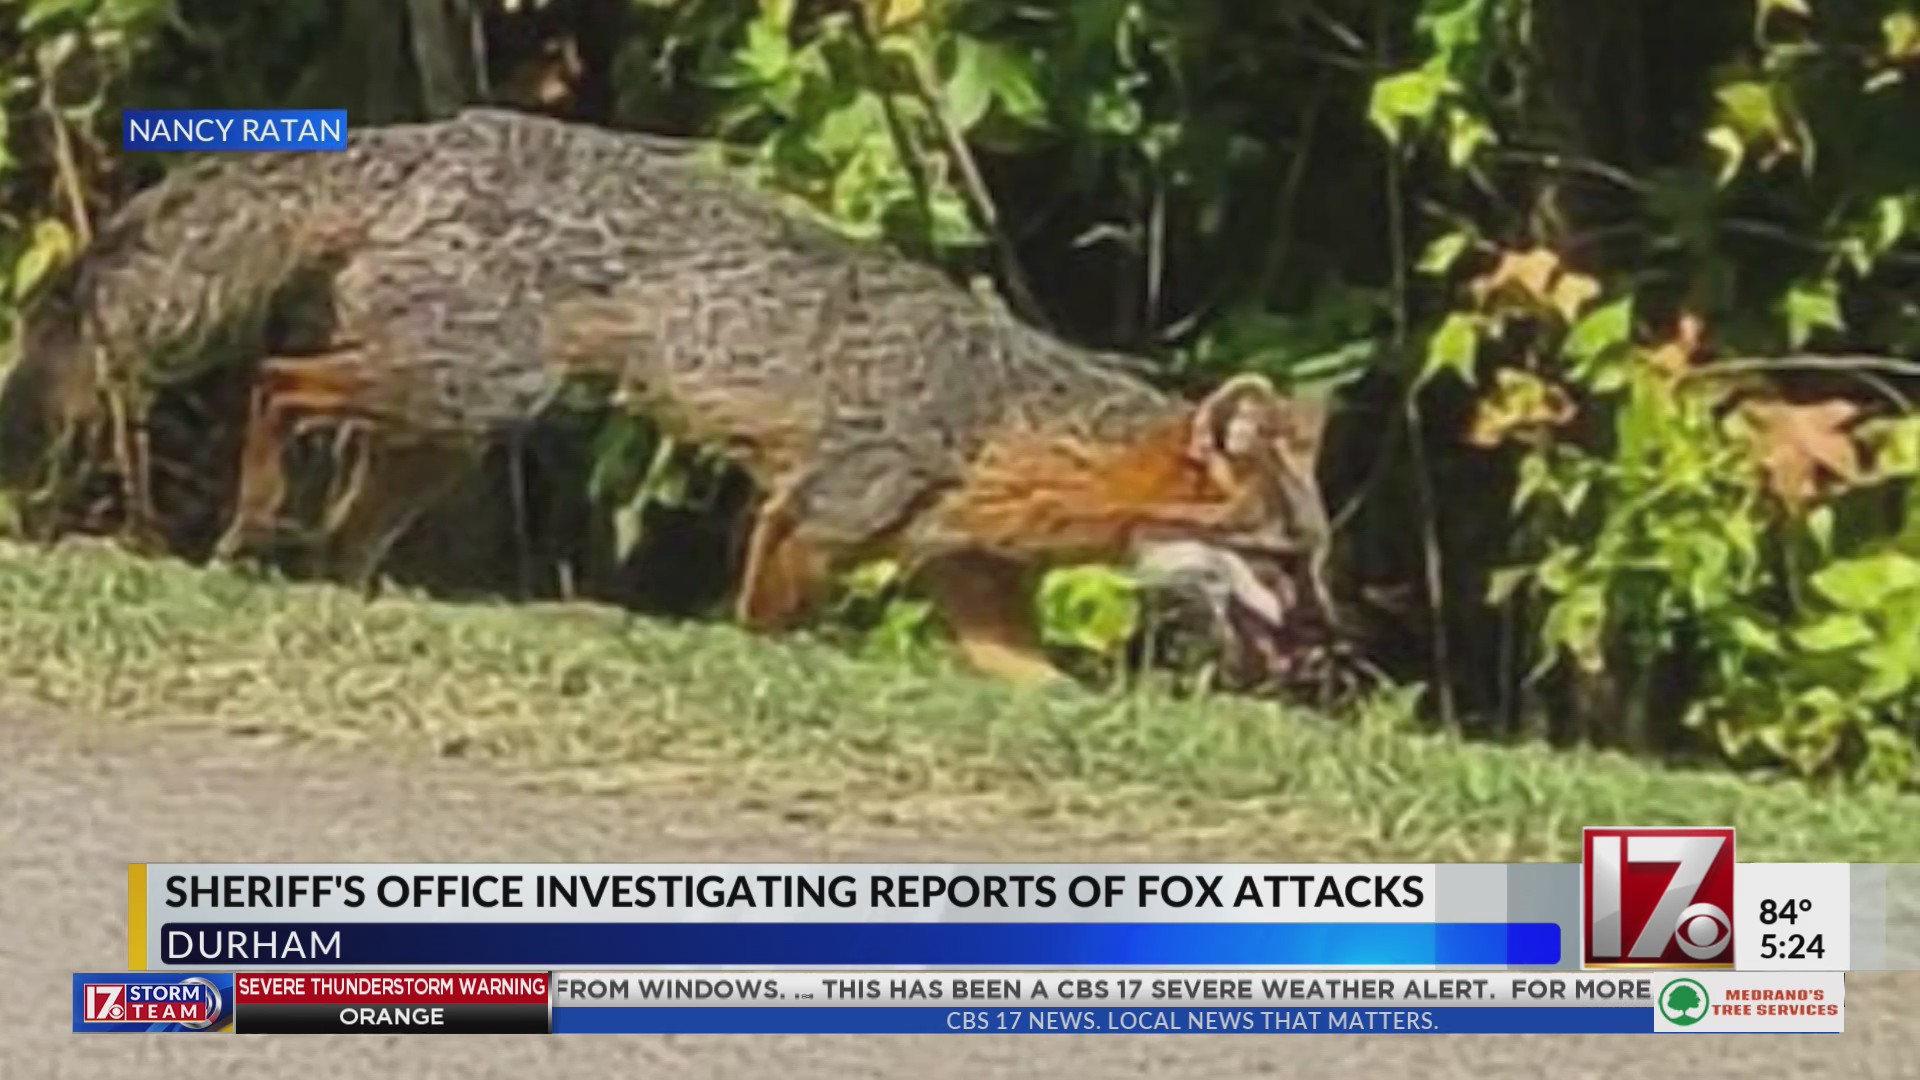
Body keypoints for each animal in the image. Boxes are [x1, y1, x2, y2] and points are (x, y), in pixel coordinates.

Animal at [0, 109, 1332, 684]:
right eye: (1281, 558)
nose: (1328, 637)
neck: (1006, 422)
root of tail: (429, 130)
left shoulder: (966, 582)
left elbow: (1040, 682)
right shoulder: (812, 516)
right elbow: (767, 626)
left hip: (451, 426)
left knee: (343, 530)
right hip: (474, 389)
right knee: (276, 385)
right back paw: (251, 519)